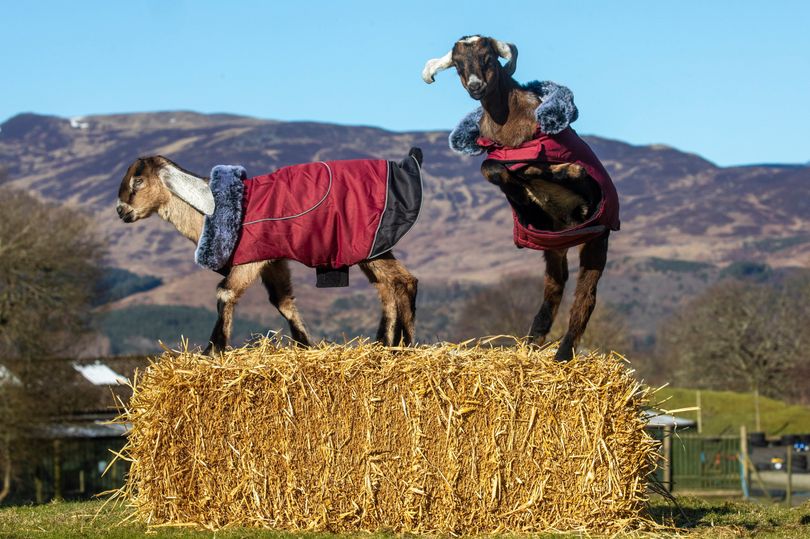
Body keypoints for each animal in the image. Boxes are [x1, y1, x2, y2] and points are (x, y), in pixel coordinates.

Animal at [116, 154, 420, 355]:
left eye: (138, 181)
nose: (121, 211)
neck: (211, 207)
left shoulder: (251, 258)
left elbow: (225, 292)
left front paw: (213, 350)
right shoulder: (274, 259)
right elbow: (282, 301)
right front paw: (305, 346)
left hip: (369, 245)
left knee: (402, 281)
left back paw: (404, 343)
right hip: (373, 248)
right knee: (391, 284)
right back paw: (387, 343)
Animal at [422, 35, 620, 362]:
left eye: (488, 58)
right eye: (458, 66)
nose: (475, 85)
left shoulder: (580, 177)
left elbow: (557, 167)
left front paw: (544, 171)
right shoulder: (498, 161)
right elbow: (491, 167)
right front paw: (522, 198)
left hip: (596, 238)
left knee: (585, 298)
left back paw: (563, 354)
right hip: (555, 246)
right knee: (554, 288)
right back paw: (533, 342)